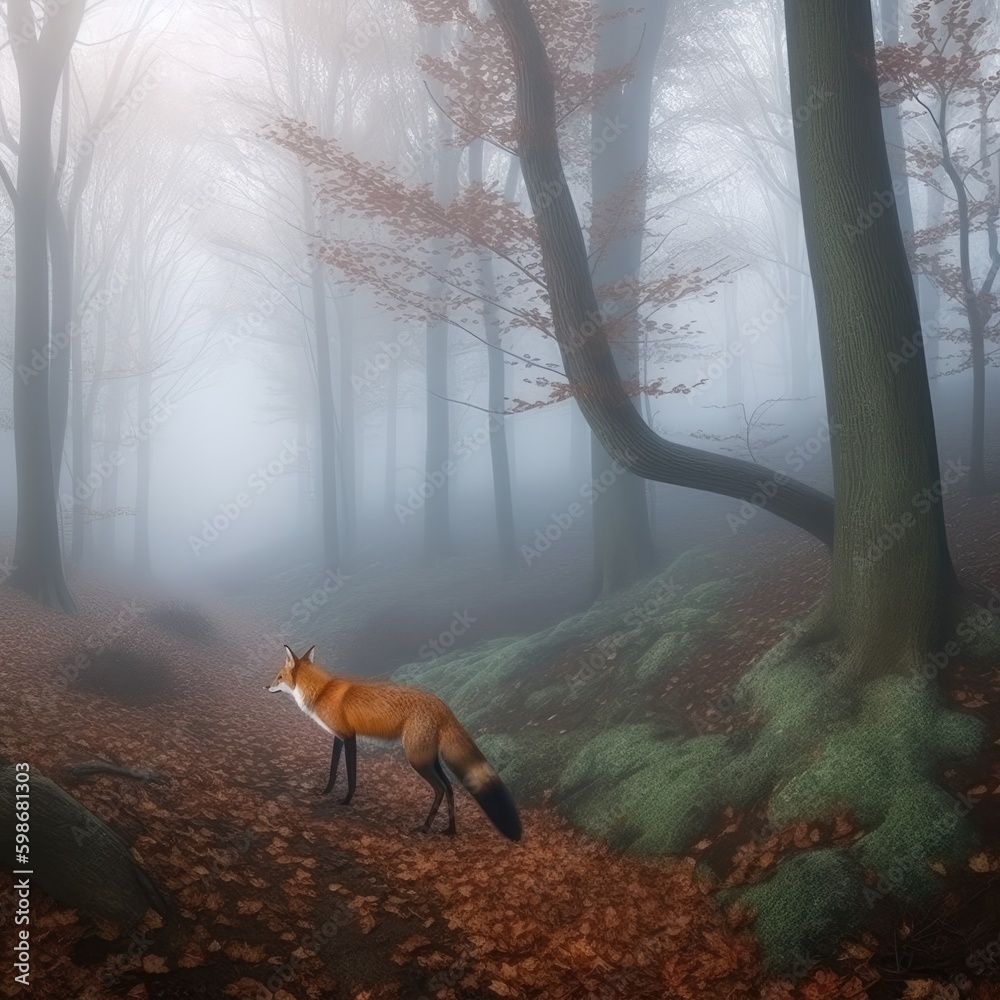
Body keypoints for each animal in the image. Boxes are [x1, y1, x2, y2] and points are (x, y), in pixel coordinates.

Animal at [265, 645, 521, 841]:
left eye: (279, 677)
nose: (265, 687)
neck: (321, 692)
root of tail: (442, 704)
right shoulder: (338, 737)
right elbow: (333, 770)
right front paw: (325, 792)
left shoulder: (349, 737)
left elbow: (351, 775)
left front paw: (346, 800)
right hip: (429, 759)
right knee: (449, 787)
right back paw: (450, 830)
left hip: (418, 760)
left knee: (440, 788)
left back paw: (425, 827)